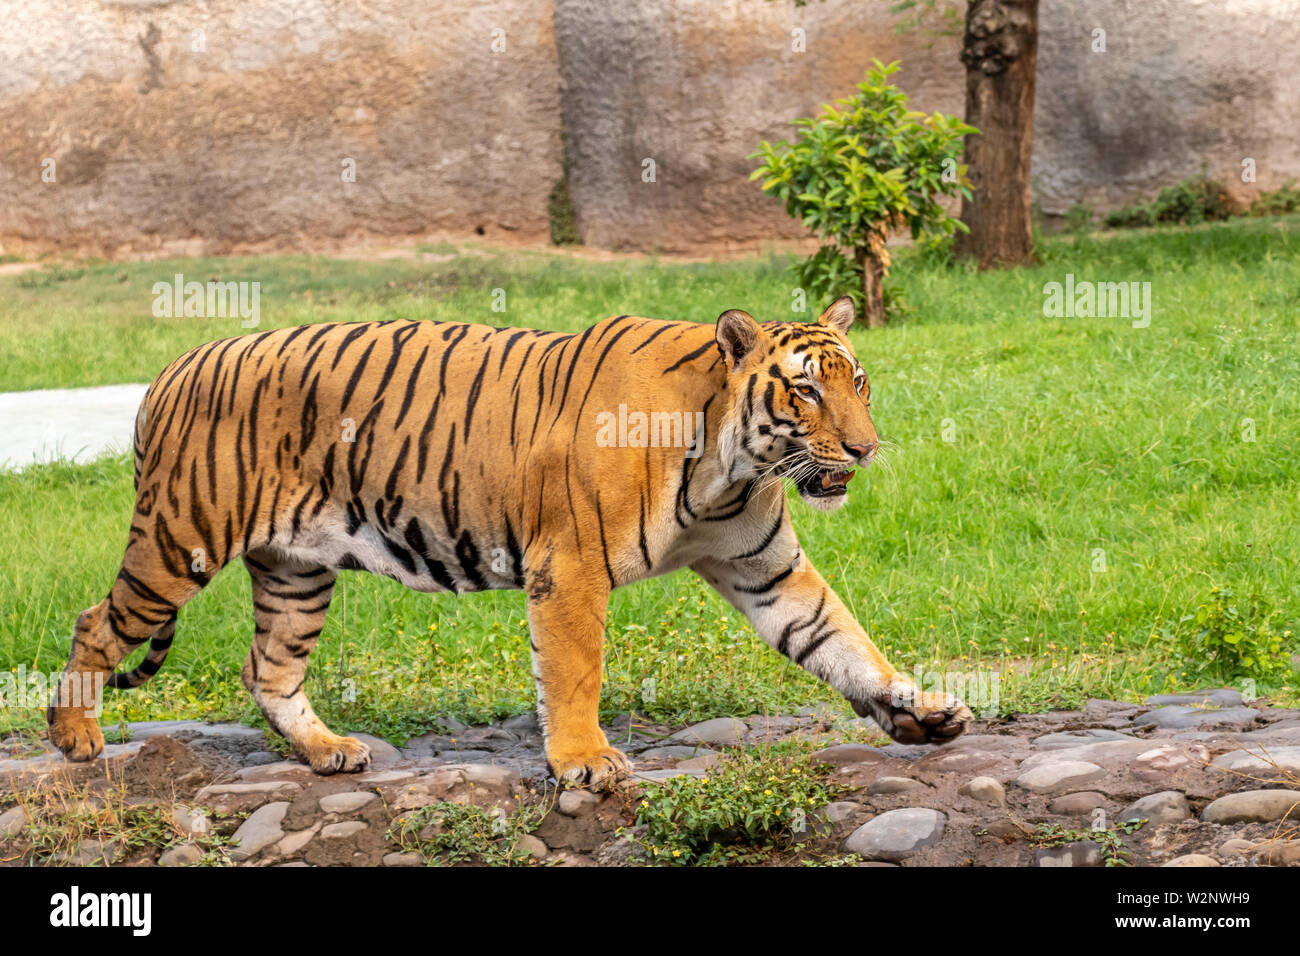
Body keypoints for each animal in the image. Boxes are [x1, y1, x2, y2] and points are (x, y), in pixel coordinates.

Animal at [48, 295, 971, 785]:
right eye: (806, 393)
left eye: (858, 384)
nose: (865, 449)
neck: (732, 468)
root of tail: (169, 369)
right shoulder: (571, 566)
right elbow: (574, 670)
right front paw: (585, 762)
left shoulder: (765, 568)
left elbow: (843, 642)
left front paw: (920, 711)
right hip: (183, 541)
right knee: (97, 623)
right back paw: (75, 736)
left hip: (295, 569)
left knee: (267, 668)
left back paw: (328, 752)